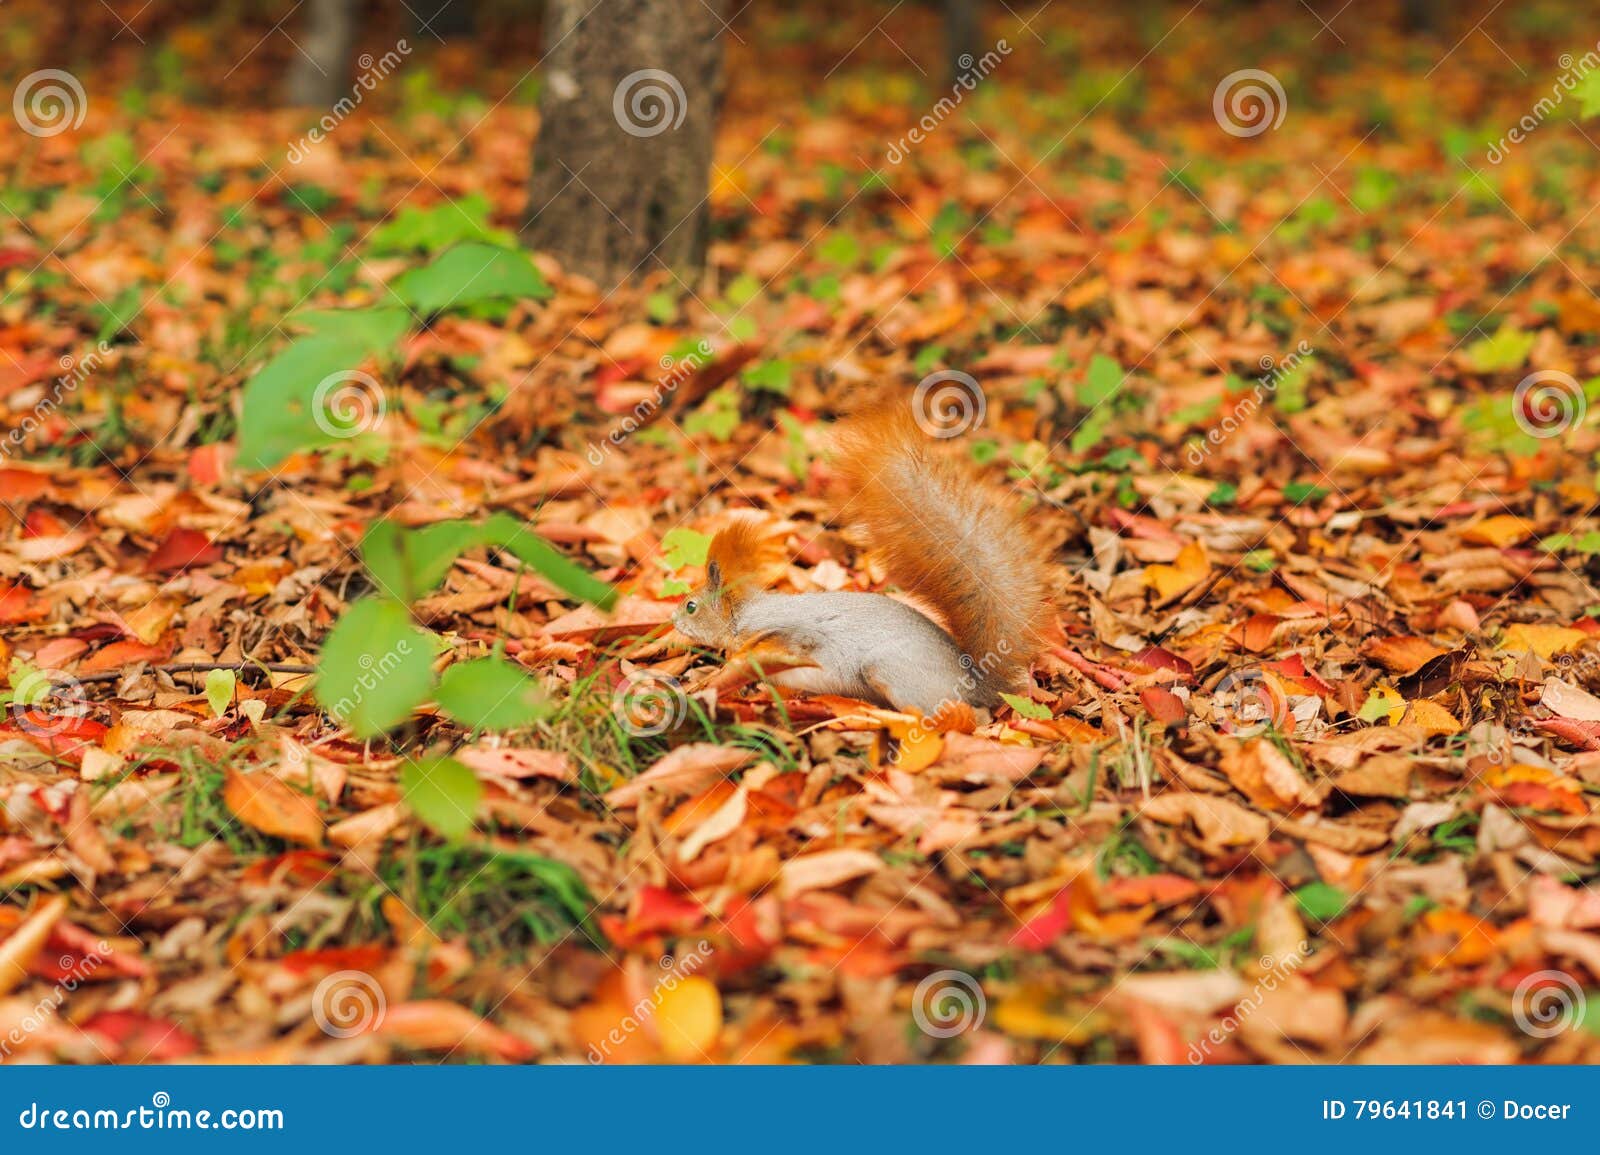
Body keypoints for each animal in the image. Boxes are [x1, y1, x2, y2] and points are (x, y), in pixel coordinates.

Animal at [671, 400, 1054, 716]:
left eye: (691, 606)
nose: (673, 619)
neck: (744, 615)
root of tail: (975, 684)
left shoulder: (782, 632)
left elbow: (797, 644)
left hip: (891, 672)